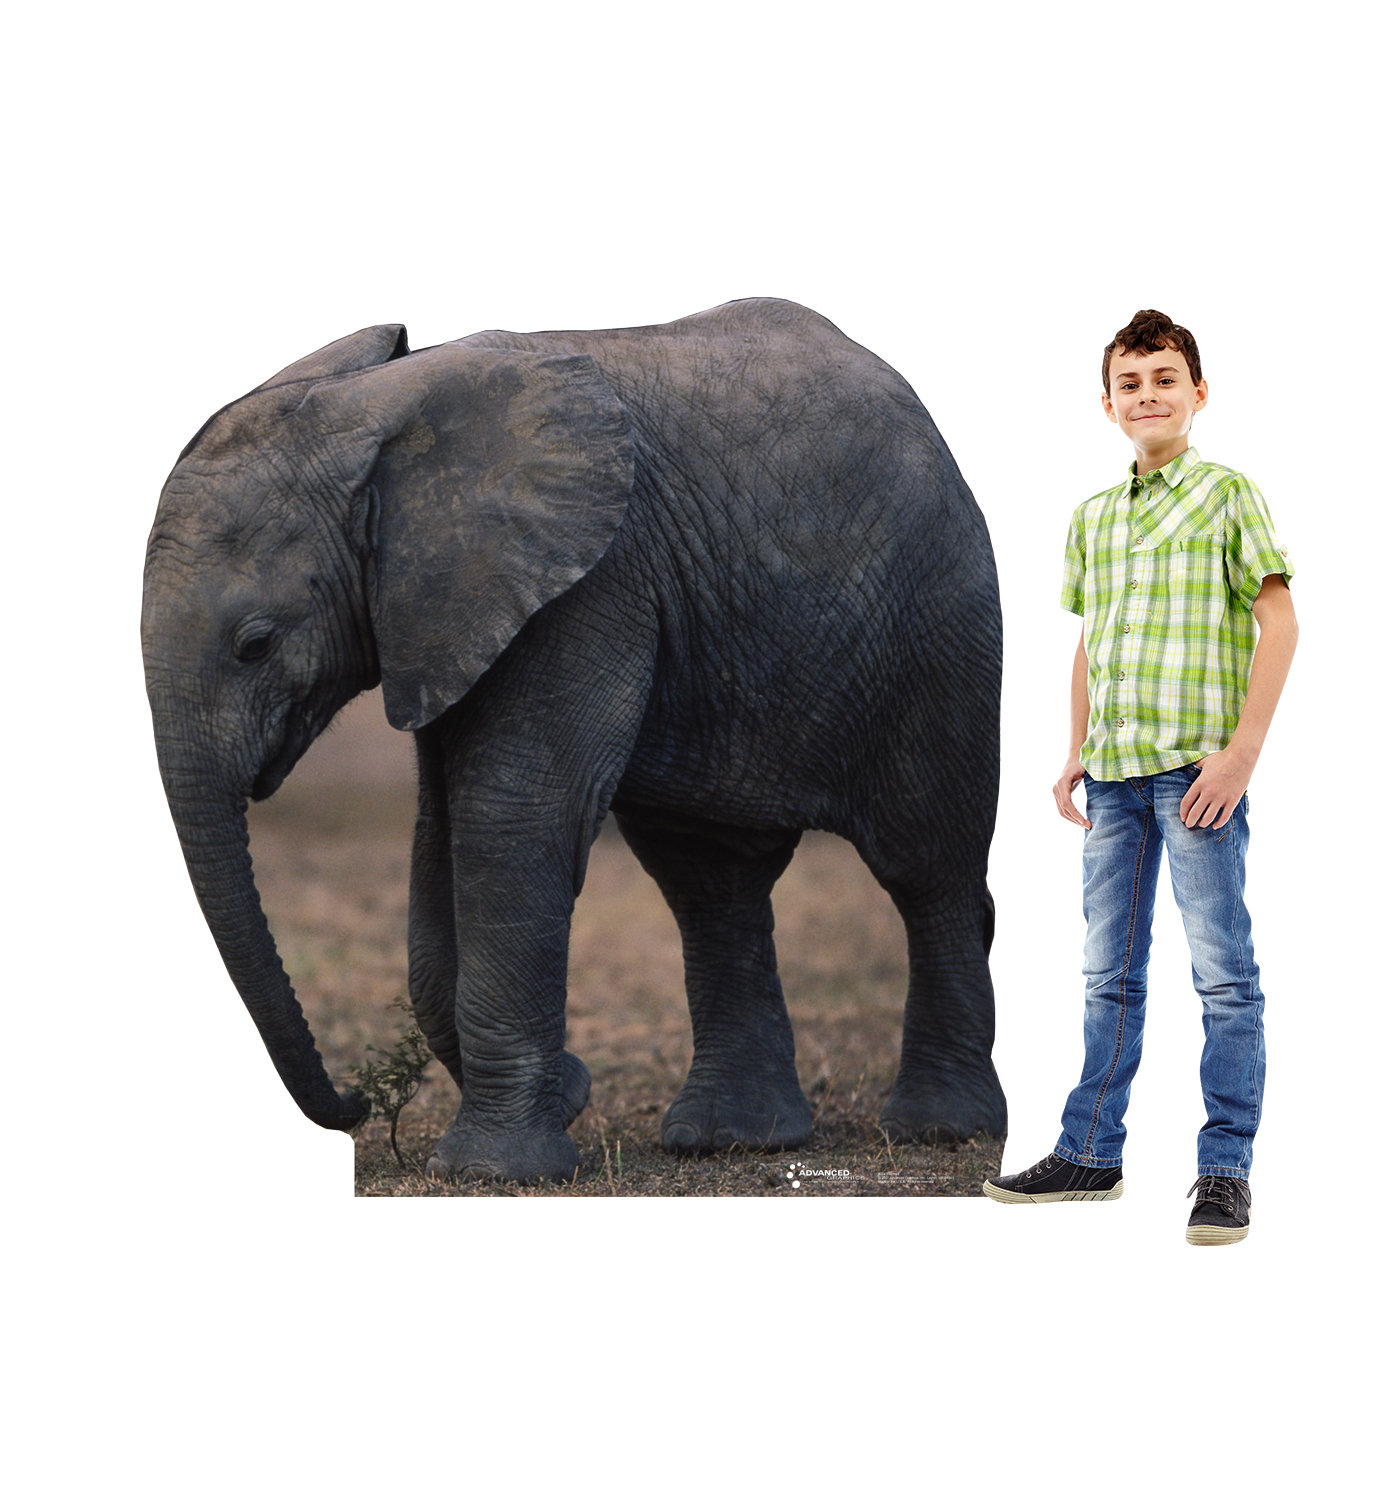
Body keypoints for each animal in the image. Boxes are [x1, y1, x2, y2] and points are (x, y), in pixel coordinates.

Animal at [141, 297, 1005, 1183]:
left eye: (254, 644)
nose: (351, 1104)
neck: (377, 418)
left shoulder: (589, 582)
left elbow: (510, 814)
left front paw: (496, 1171)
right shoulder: (451, 612)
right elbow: (441, 830)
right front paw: (562, 1099)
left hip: (940, 621)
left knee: (925, 864)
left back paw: (938, 1129)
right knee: (712, 882)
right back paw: (730, 1141)